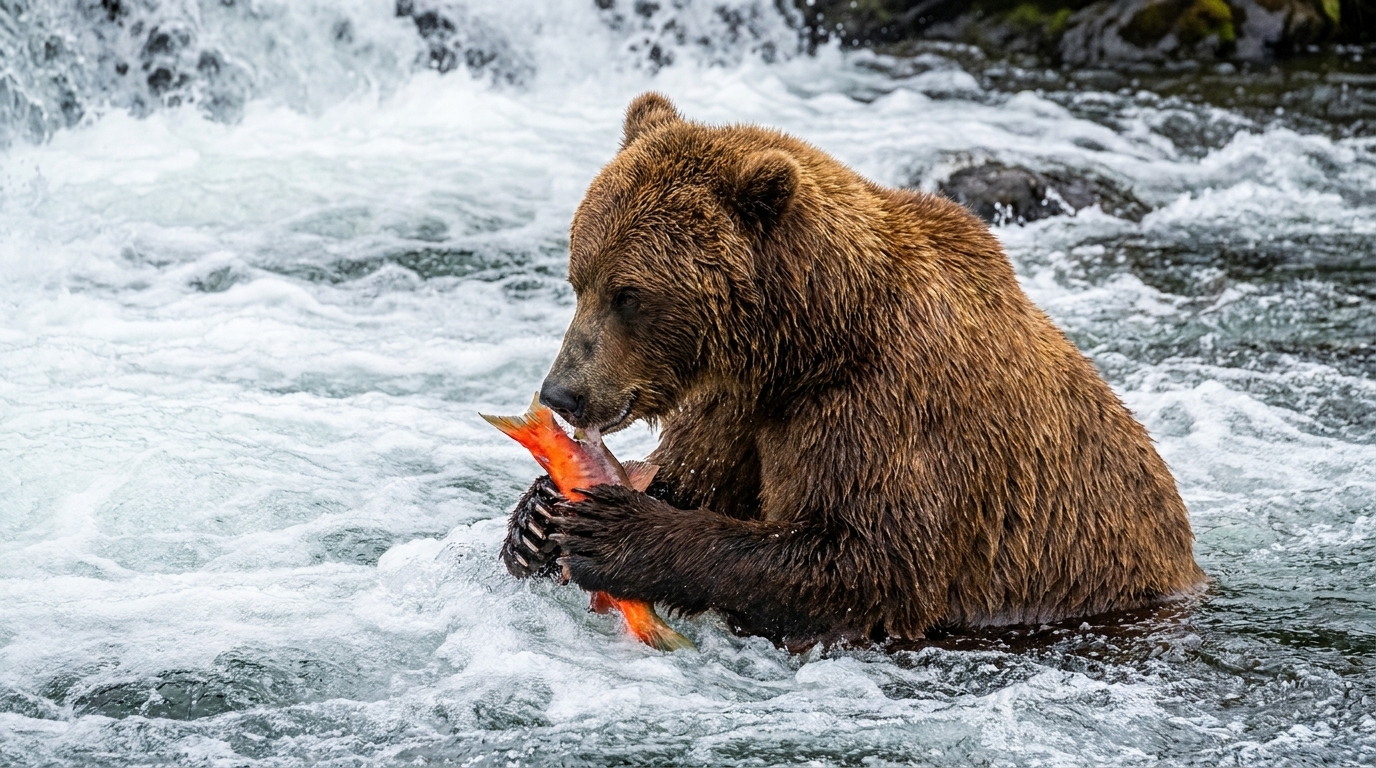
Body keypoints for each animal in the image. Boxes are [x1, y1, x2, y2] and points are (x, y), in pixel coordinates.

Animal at [500, 92, 1206, 650]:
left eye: (629, 294)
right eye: (578, 278)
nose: (562, 392)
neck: (810, 340)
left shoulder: (885, 406)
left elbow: (865, 560)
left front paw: (615, 531)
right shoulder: (738, 407)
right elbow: (694, 475)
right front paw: (538, 518)